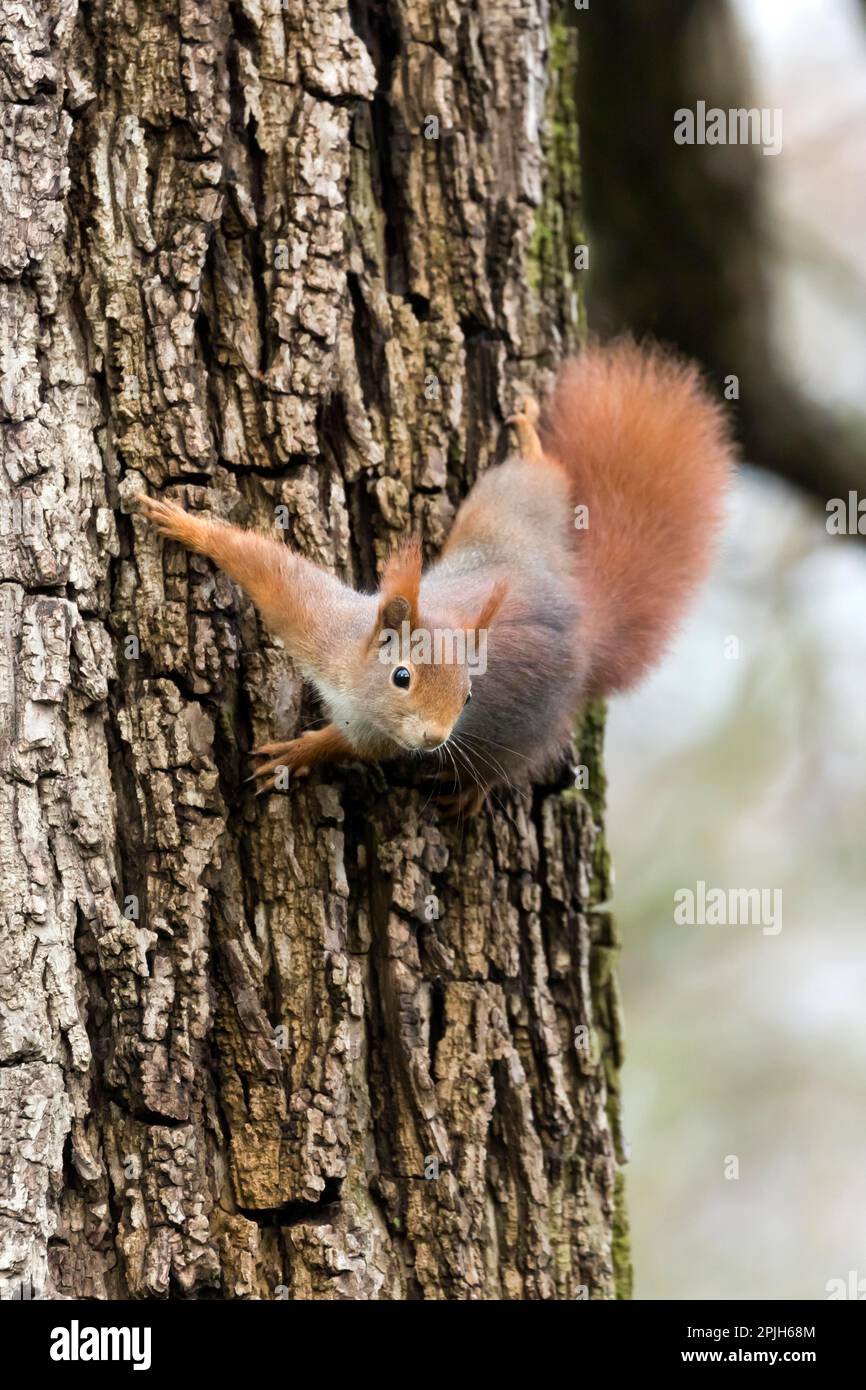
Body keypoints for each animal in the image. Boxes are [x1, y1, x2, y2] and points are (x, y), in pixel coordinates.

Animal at [137, 339, 734, 815]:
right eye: (402, 676)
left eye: (469, 697)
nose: (433, 738)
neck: (356, 689)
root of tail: (581, 619)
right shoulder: (319, 624)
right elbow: (265, 568)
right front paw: (187, 525)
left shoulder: (375, 732)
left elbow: (345, 746)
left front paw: (298, 753)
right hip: (503, 516)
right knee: (539, 479)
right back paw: (529, 443)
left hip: (531, 721)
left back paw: (473, 791)